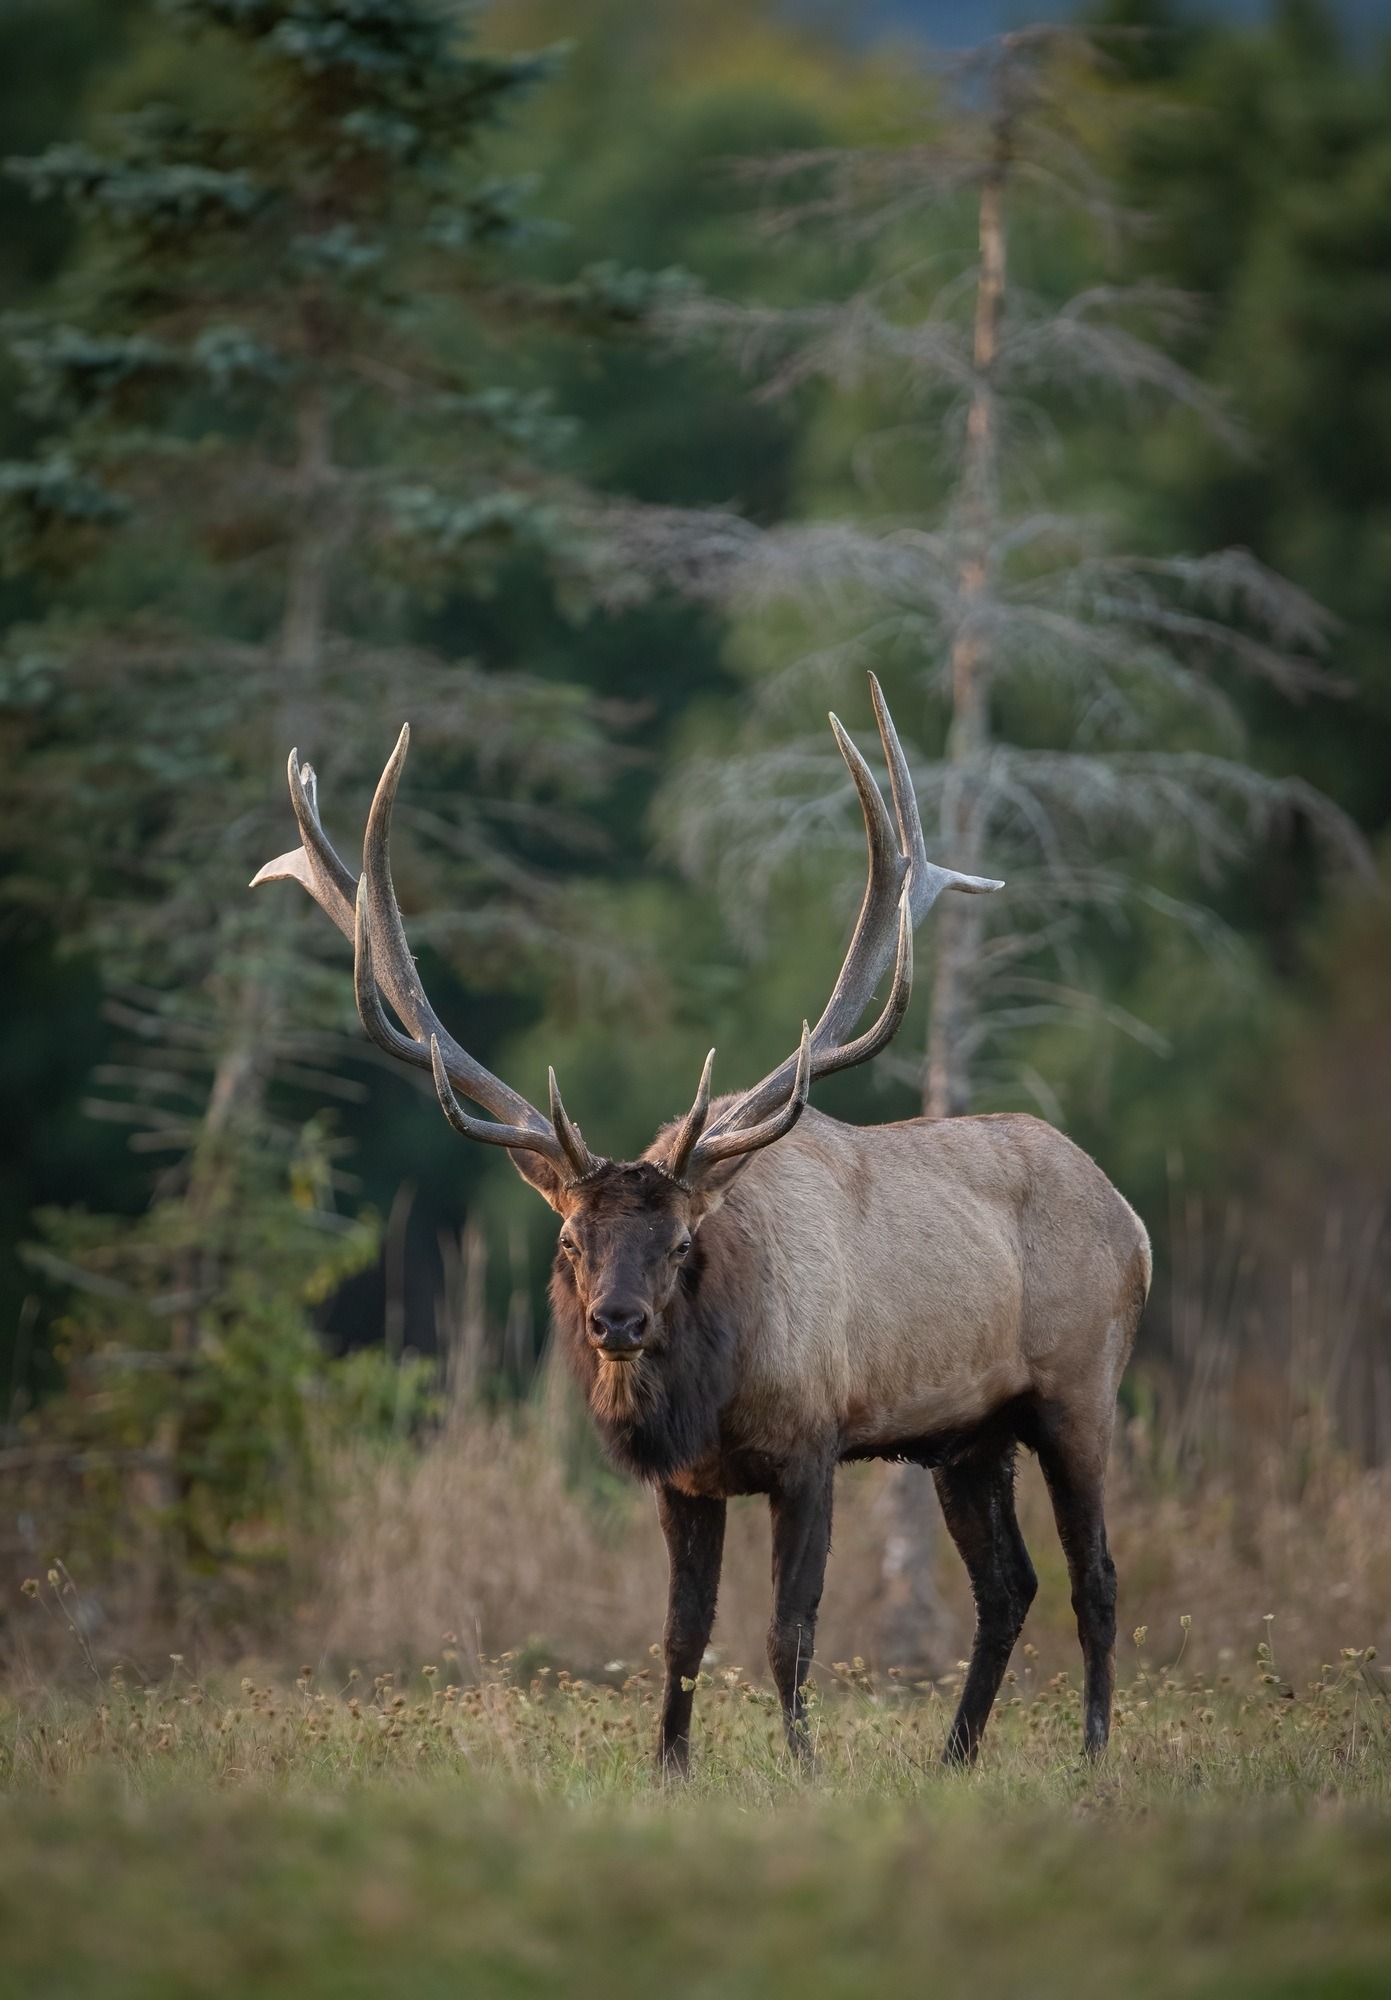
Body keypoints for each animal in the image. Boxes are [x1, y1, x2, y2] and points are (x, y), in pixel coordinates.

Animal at [254, 674, 1150, 1772]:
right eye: (570, 1239)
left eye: (681, 1244)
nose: (617, 1322)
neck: (713, 1391)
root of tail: (1132, 1219)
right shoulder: (686, 1481)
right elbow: (682, 1631)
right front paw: (669, 1764)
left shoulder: (811, 1445)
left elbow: (787, 1630)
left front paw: (802, 1765)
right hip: (966, 1434)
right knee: (1007, 1584)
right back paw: (953, 1755)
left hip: (1077, 1390)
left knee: (1095, 1576)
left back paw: (1093, 1752)